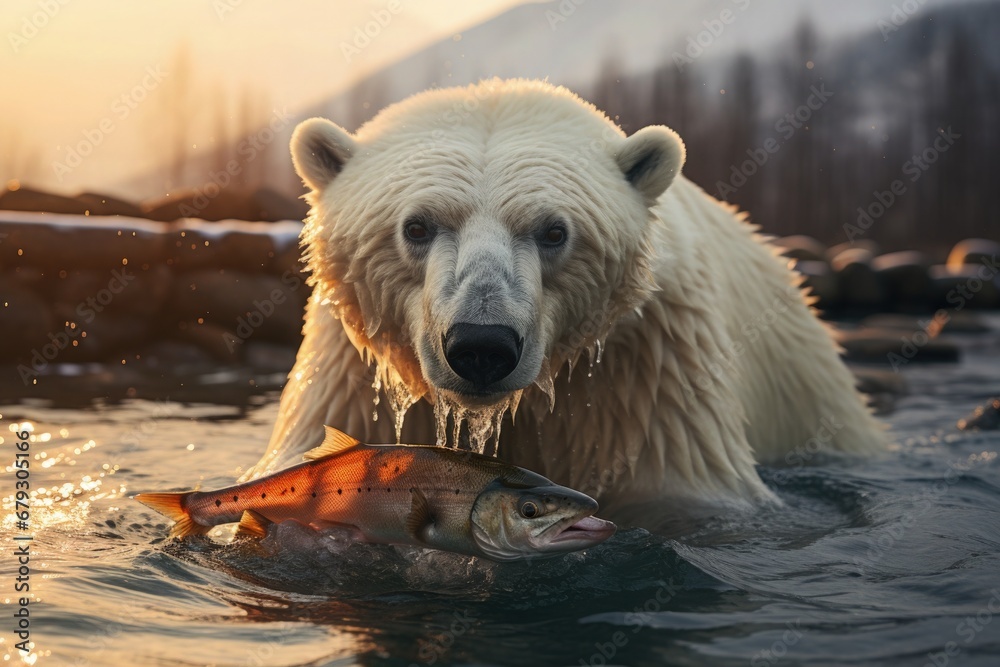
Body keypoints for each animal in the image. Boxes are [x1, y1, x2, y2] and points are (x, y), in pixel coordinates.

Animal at [246, 79, 885, 526]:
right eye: (417, 226)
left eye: (554, 231)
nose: (482, 345)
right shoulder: (352, 374)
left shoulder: (650, 367)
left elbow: (675, 484)